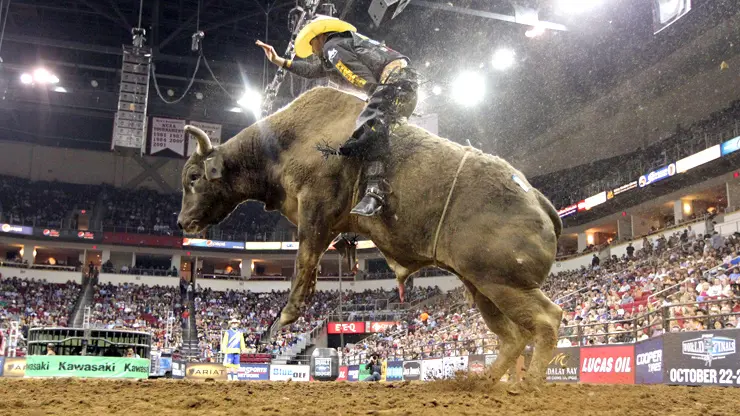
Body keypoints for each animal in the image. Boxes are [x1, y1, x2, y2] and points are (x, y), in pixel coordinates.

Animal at [176, 86, 563, 392]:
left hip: (503, 282)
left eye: (194, 176)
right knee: (513, 336)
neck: (285, 142)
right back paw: (480, 380)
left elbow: (304, 263)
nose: (182, 221)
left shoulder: (317, 211)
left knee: (547, 319)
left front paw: (280, 322)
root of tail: (536, 198)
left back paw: (528, 385)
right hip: (482, 286)